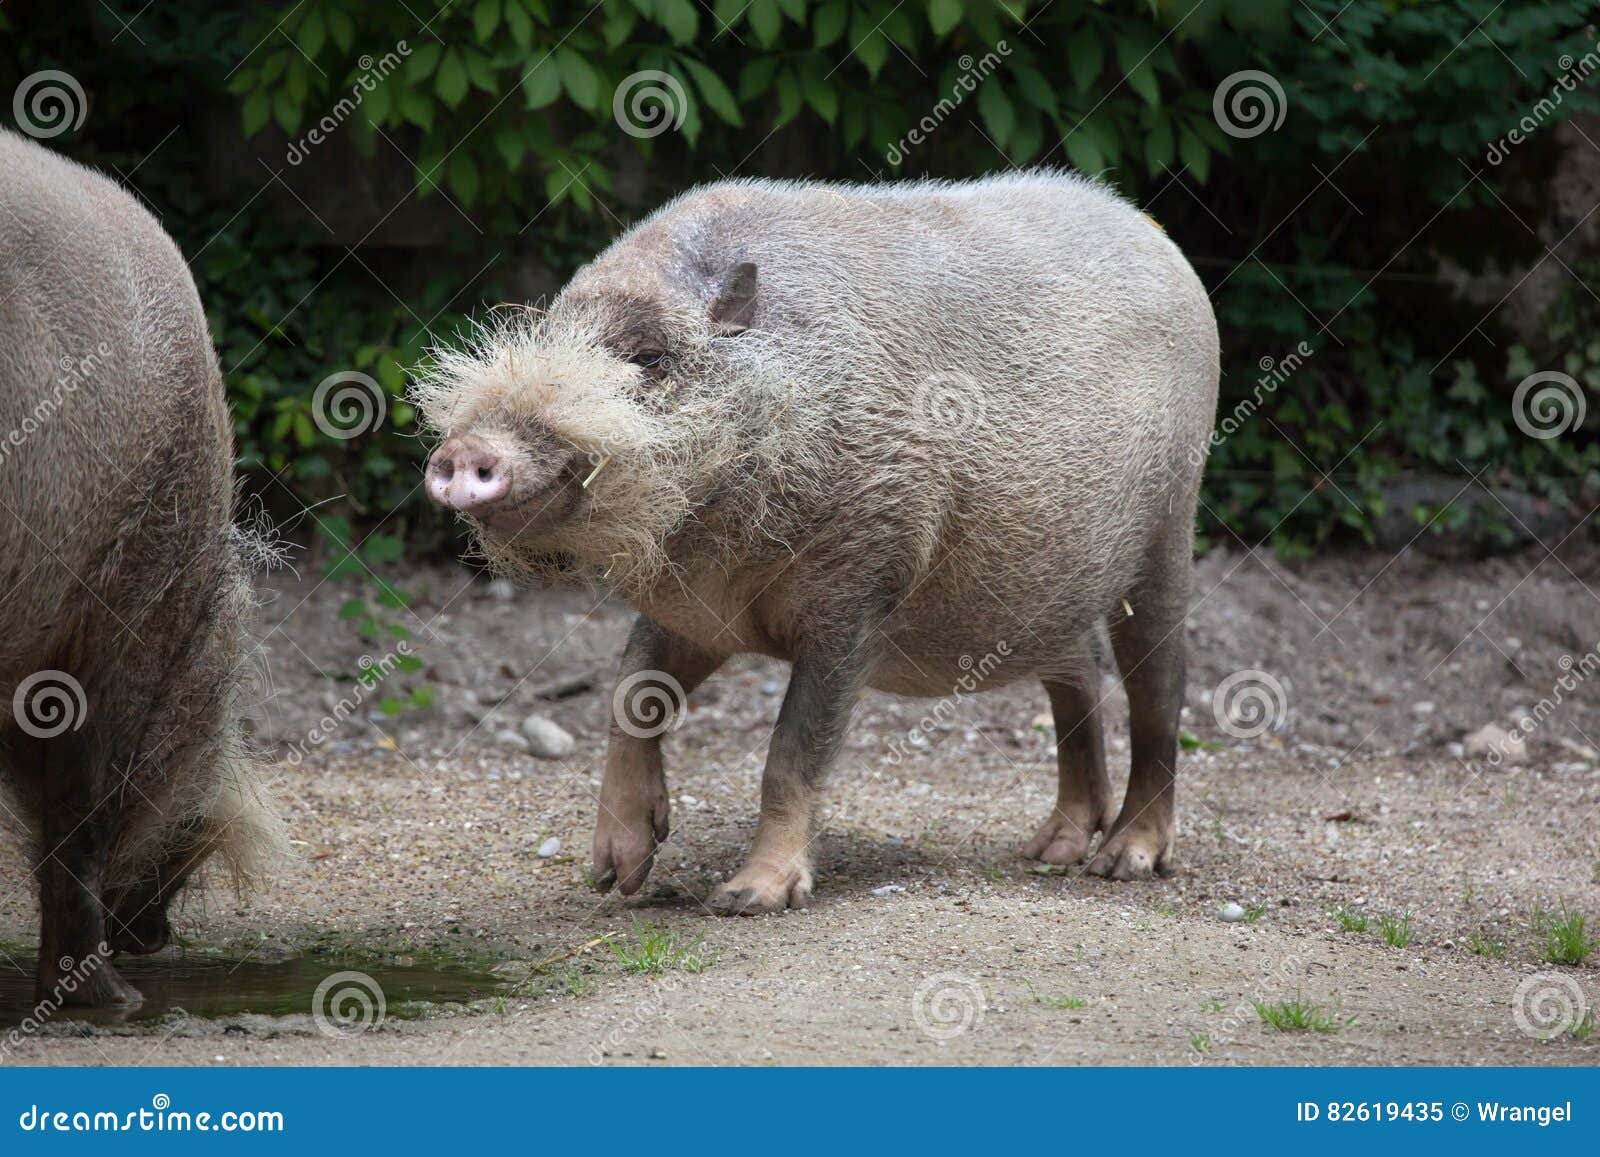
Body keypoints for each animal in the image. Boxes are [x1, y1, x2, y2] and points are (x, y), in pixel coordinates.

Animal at [415, 172, 1219, 913]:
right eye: (553, 338)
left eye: (646, 358)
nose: (464, 451)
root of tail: (1157, 236)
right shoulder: (704, 616)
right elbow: (632, 688)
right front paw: (614, 879)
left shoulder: (859, 590)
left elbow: (792, 749)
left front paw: (746, 899)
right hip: (1047, 593)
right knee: (1078, 670)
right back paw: (1048, 850)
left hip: (1172, 523)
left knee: (1158, 689)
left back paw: (1122, 862)